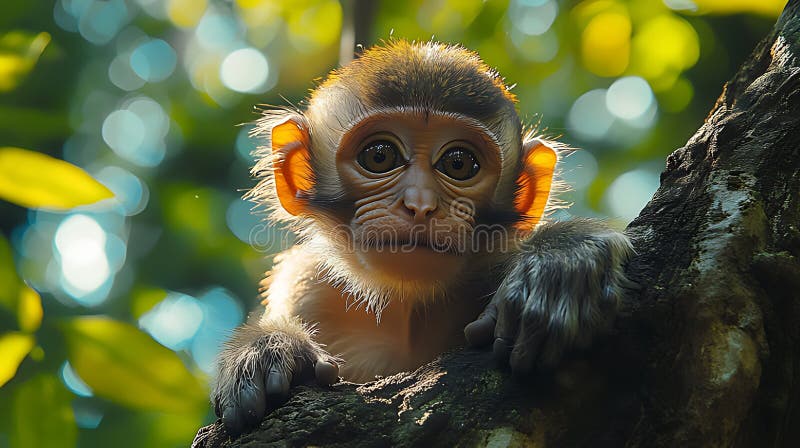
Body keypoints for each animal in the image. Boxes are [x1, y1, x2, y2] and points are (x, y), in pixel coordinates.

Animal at [212, 40, 634, 435]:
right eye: (380, 156)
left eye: (458, 163)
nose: (420, 204)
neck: (407, 308)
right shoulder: (308, 287)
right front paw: (269, 351)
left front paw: (561, 260)